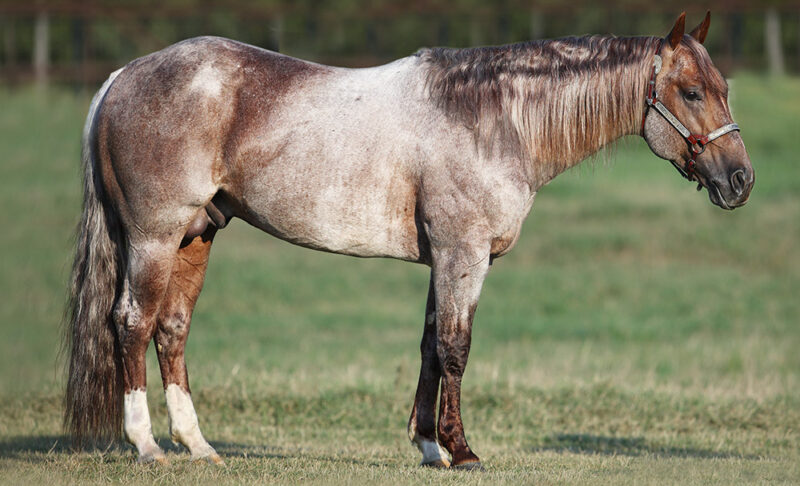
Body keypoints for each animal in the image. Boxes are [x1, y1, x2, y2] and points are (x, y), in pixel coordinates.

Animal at [63, 11, 753, 469]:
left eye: (723, 89)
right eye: (691, 92)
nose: (740, 181)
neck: (492, 119)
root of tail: (122, 77)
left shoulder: (443, 260)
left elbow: (428, 346)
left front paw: (427, 446)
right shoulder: (463, 255)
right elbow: (455, 349)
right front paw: (462, 450)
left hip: (196, 236)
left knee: (171, 328)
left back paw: (199, 446)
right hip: (155, 237)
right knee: (130, 322)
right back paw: (147, 445)